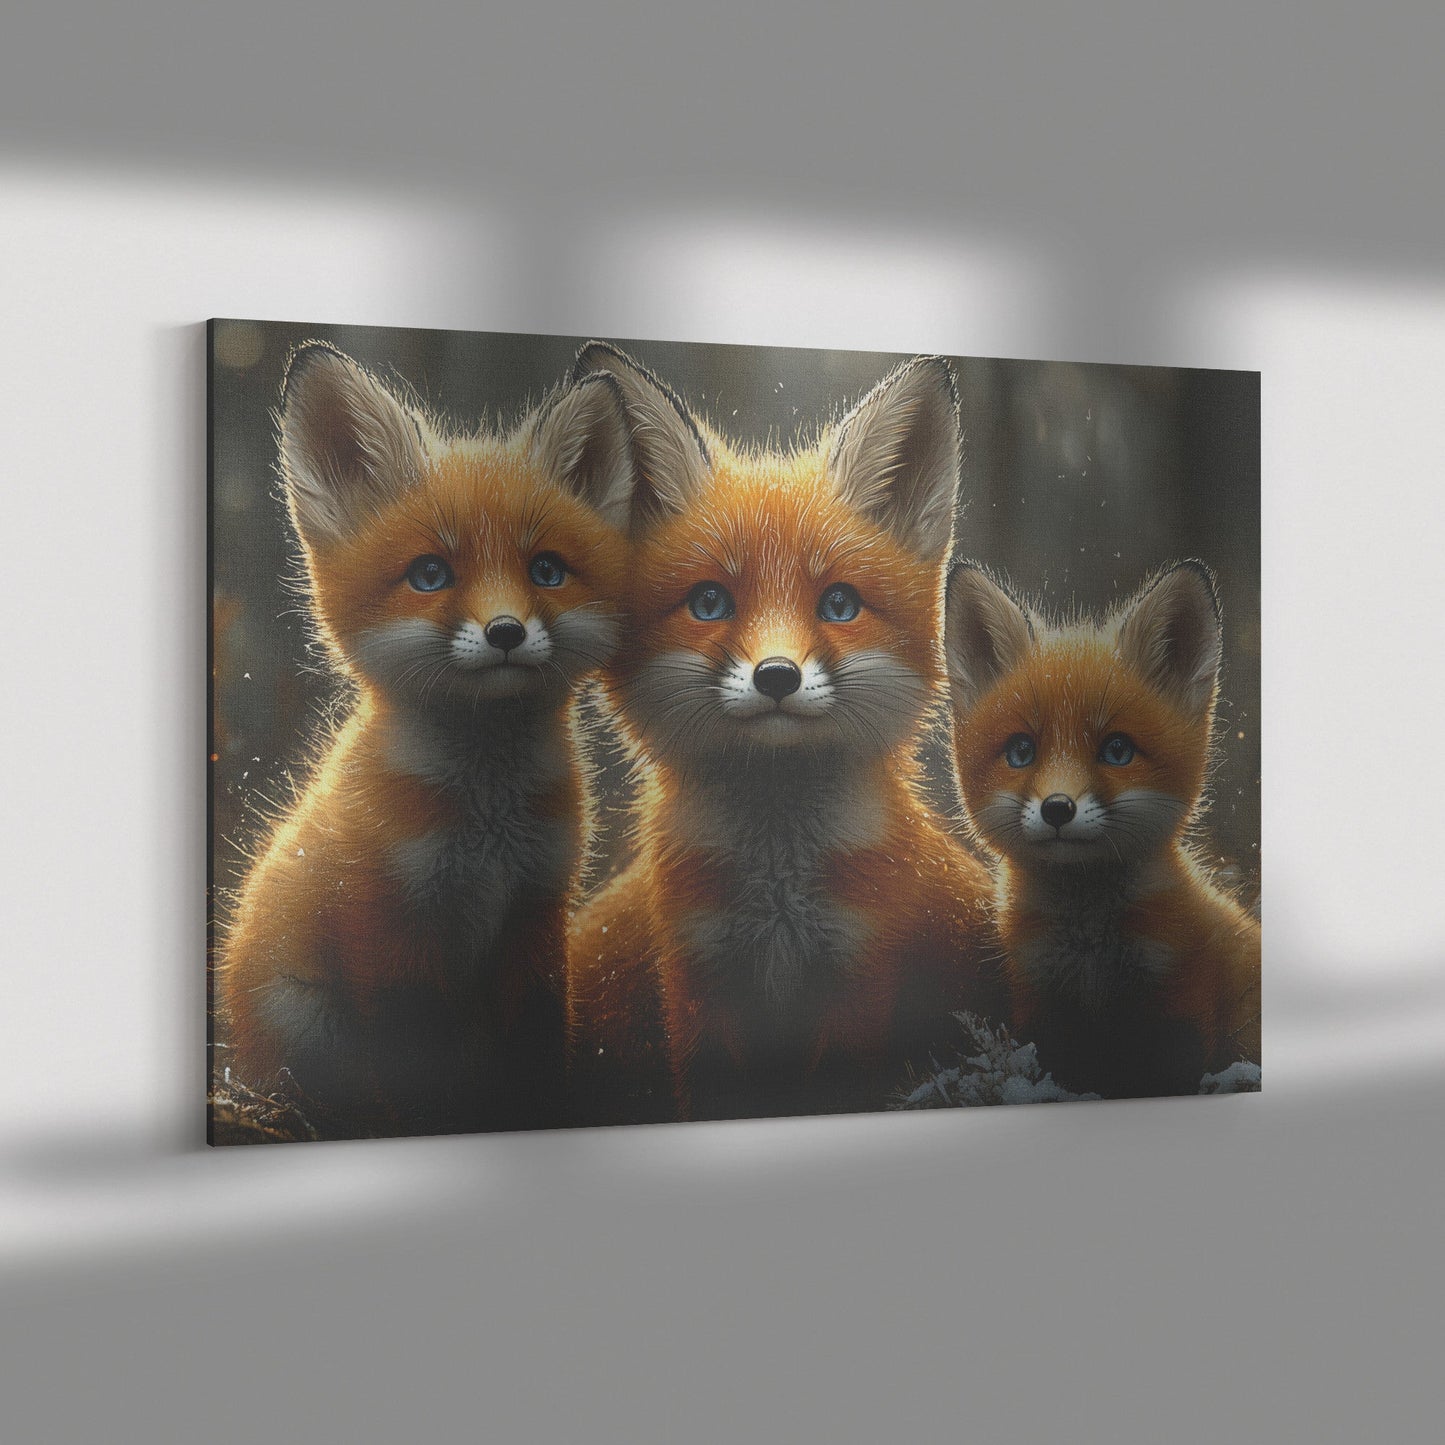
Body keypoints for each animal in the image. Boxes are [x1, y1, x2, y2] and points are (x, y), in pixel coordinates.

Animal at [216, 342, 639, 1135]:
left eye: (546, 570)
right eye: (430, 573)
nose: (505, 632)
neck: (485, 828)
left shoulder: (535, 915)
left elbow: (538, 1053)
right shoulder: (387, 930)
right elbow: (414, 1073)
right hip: (303, 1019)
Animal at [565, 344, 999, 1123]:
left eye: (839, 605)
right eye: (710, 602)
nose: (775, 676)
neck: (777, 910)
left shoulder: (861, 972)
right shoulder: (700, 984)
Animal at [943, 559, 1261, 1098]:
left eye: (1117, 750)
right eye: (1021, 751)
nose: (1057, 808)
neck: (1089, 951)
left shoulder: (1180, 999)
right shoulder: (1039, 1001)